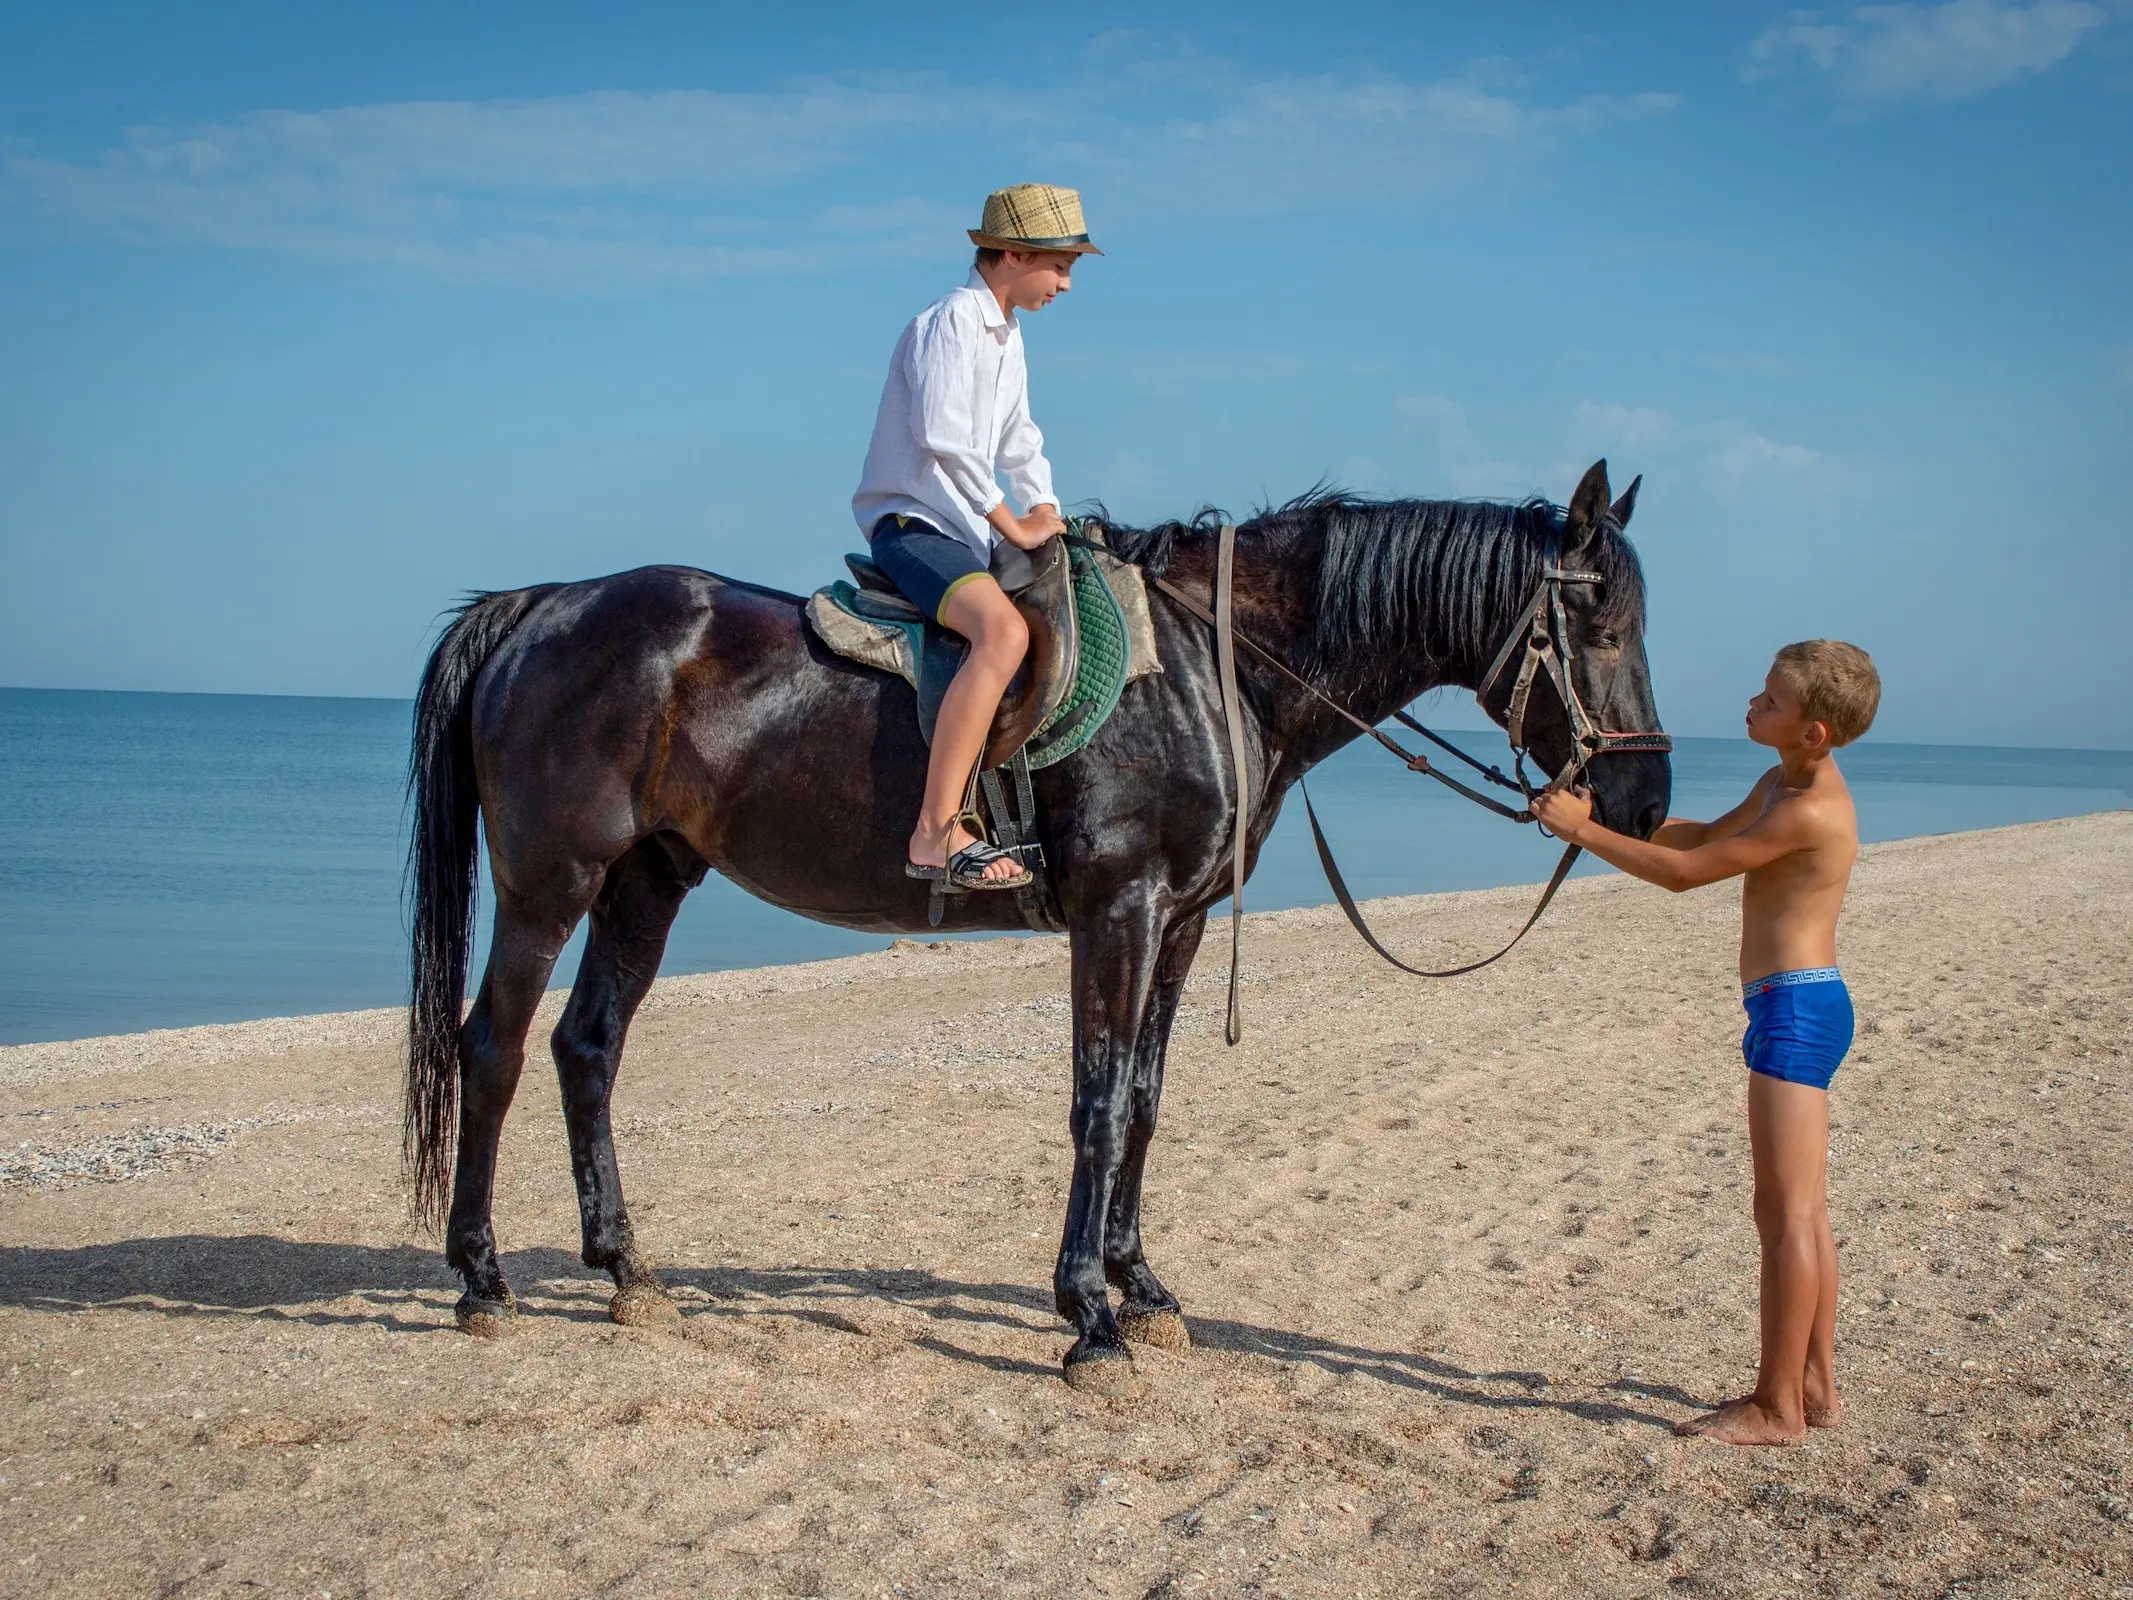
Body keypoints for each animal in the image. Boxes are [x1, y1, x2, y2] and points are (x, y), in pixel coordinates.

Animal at [404, 458, 1672, 1391]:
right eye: (1602, 628)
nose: (1646, 802)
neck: (1211, 668)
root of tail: (541, 606)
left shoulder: (1180, 923)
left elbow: (1144, 1103)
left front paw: (1142, 1286)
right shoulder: (1119, 912)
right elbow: (1097, 1105)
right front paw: (1089, 1316)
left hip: (646, 882)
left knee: (587, 1048)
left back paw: (625, 1267)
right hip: (551, 883)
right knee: (494, 1048)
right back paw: (481, 1279)